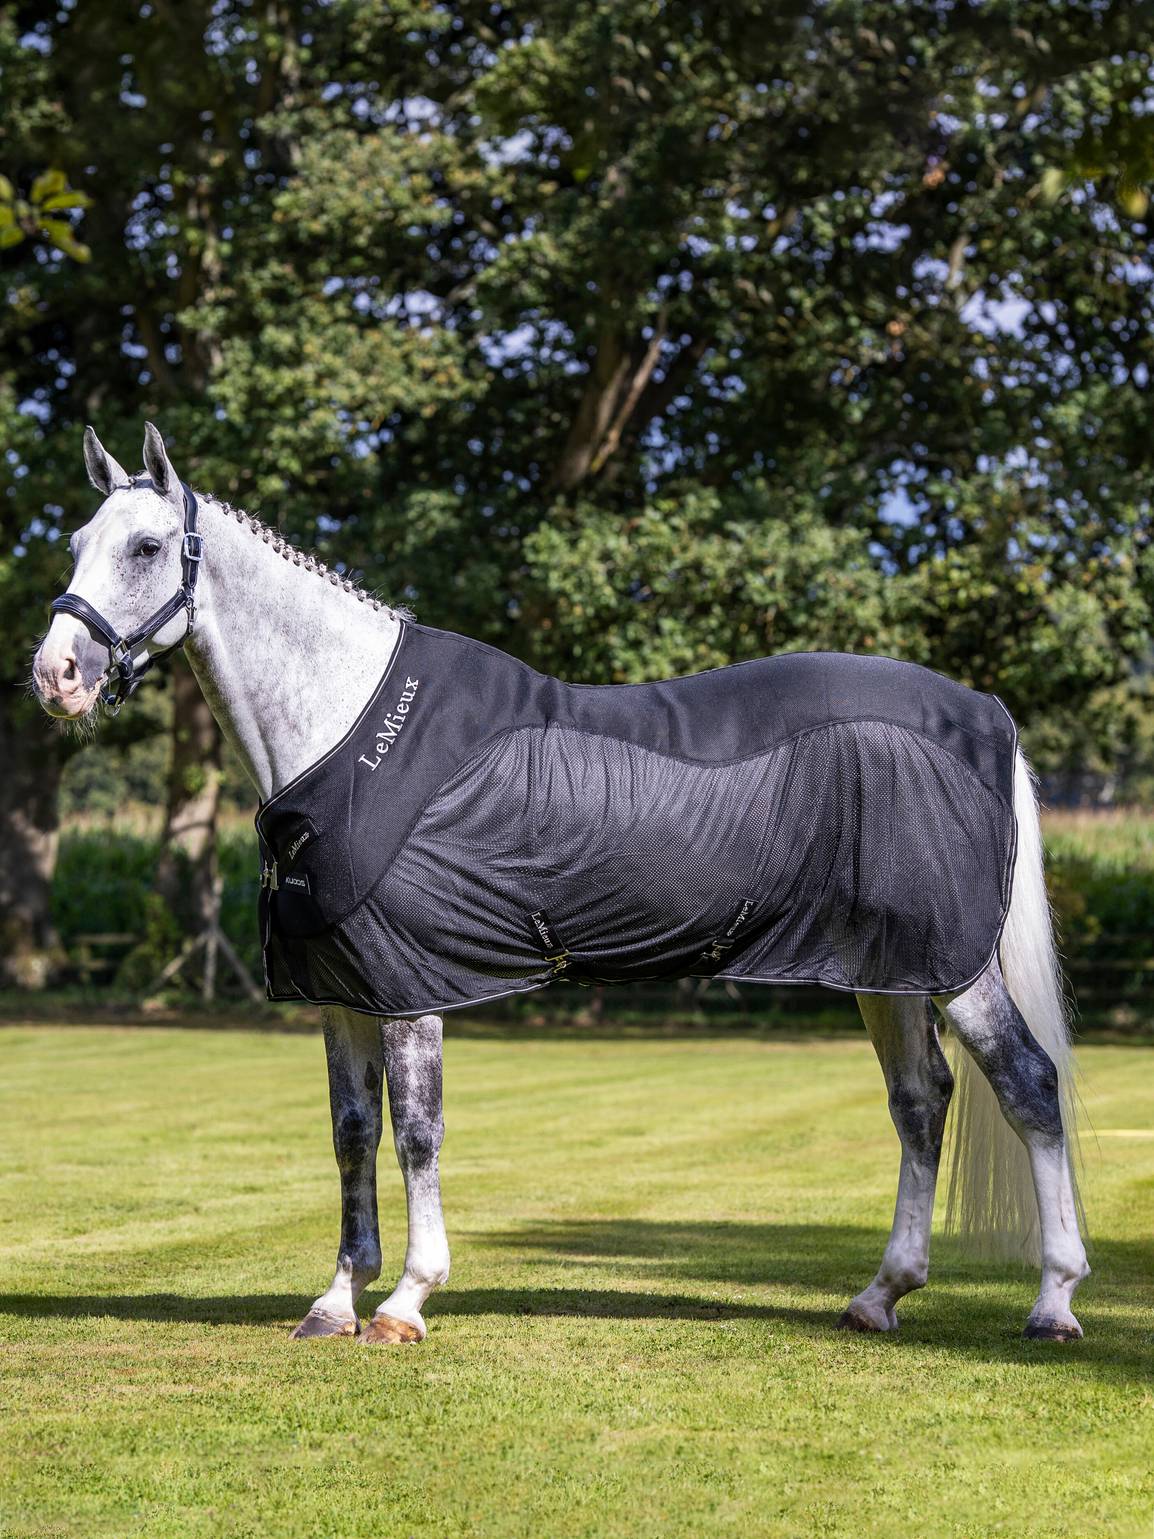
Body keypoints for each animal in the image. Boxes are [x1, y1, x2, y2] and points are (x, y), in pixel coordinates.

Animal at [30, 423, 1089, 1346]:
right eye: (77, 543)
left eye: (147, 546)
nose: (56, 674)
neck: (351, 727)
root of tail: (984, 713)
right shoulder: (342, 992)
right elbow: (351, 1132)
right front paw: (335, 1300)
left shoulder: (410, 988)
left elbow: (416, 1134)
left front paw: (407, 1300)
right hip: (889, 969)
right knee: (920, 1100)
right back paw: (881, 1294)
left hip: (955, 967)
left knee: (1028, 1085)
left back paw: (1053, 1302)